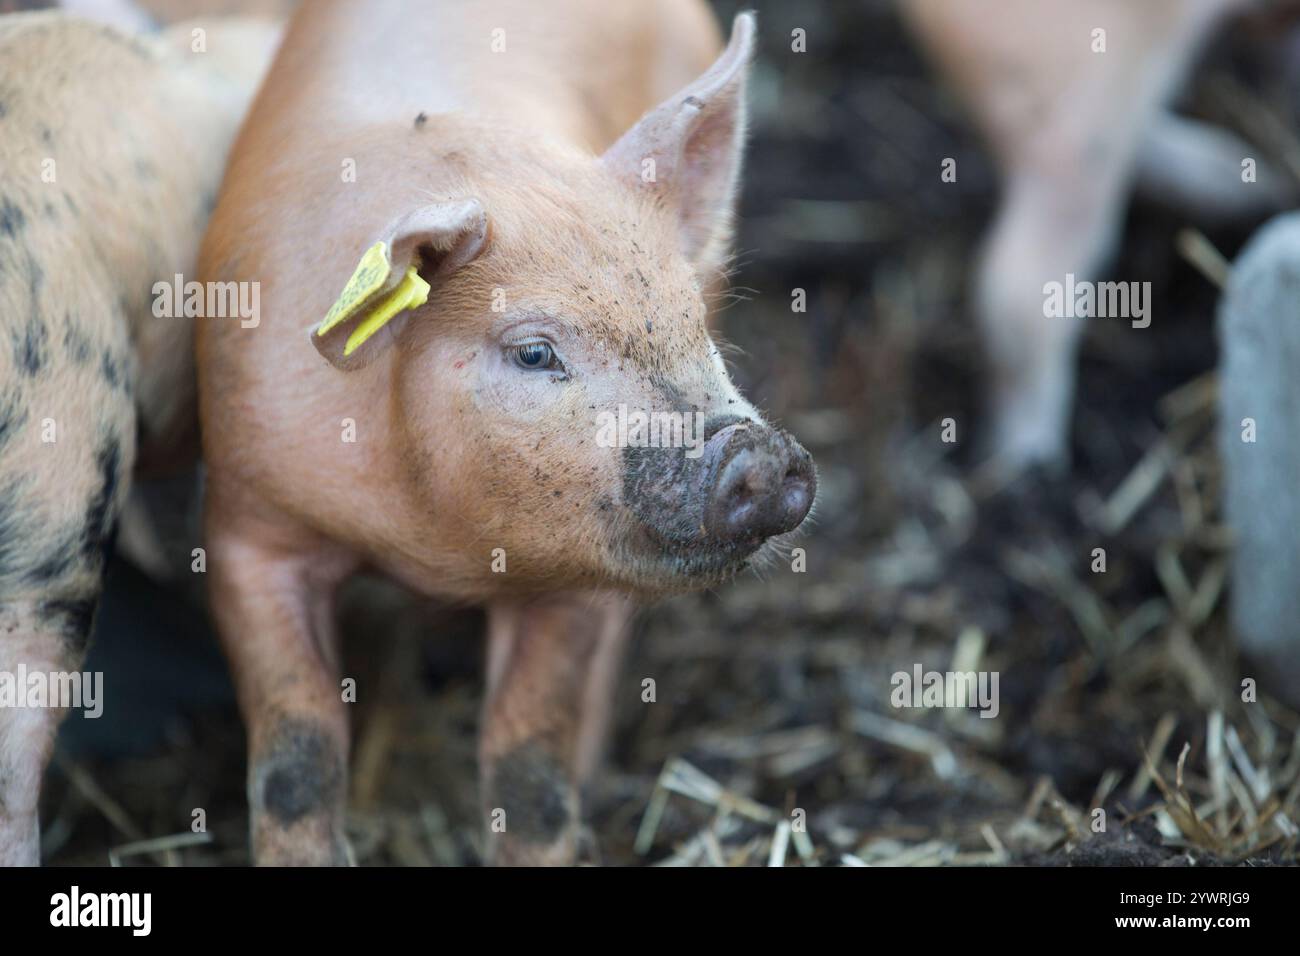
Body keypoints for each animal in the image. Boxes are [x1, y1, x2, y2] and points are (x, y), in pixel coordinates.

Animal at [196, 0, 816, 865]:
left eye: (692, 326)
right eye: (534, 351)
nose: (755, 450)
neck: (427, 543)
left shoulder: (577, 575)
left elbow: (530, 771)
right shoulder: (248, 524)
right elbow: (297, 755)